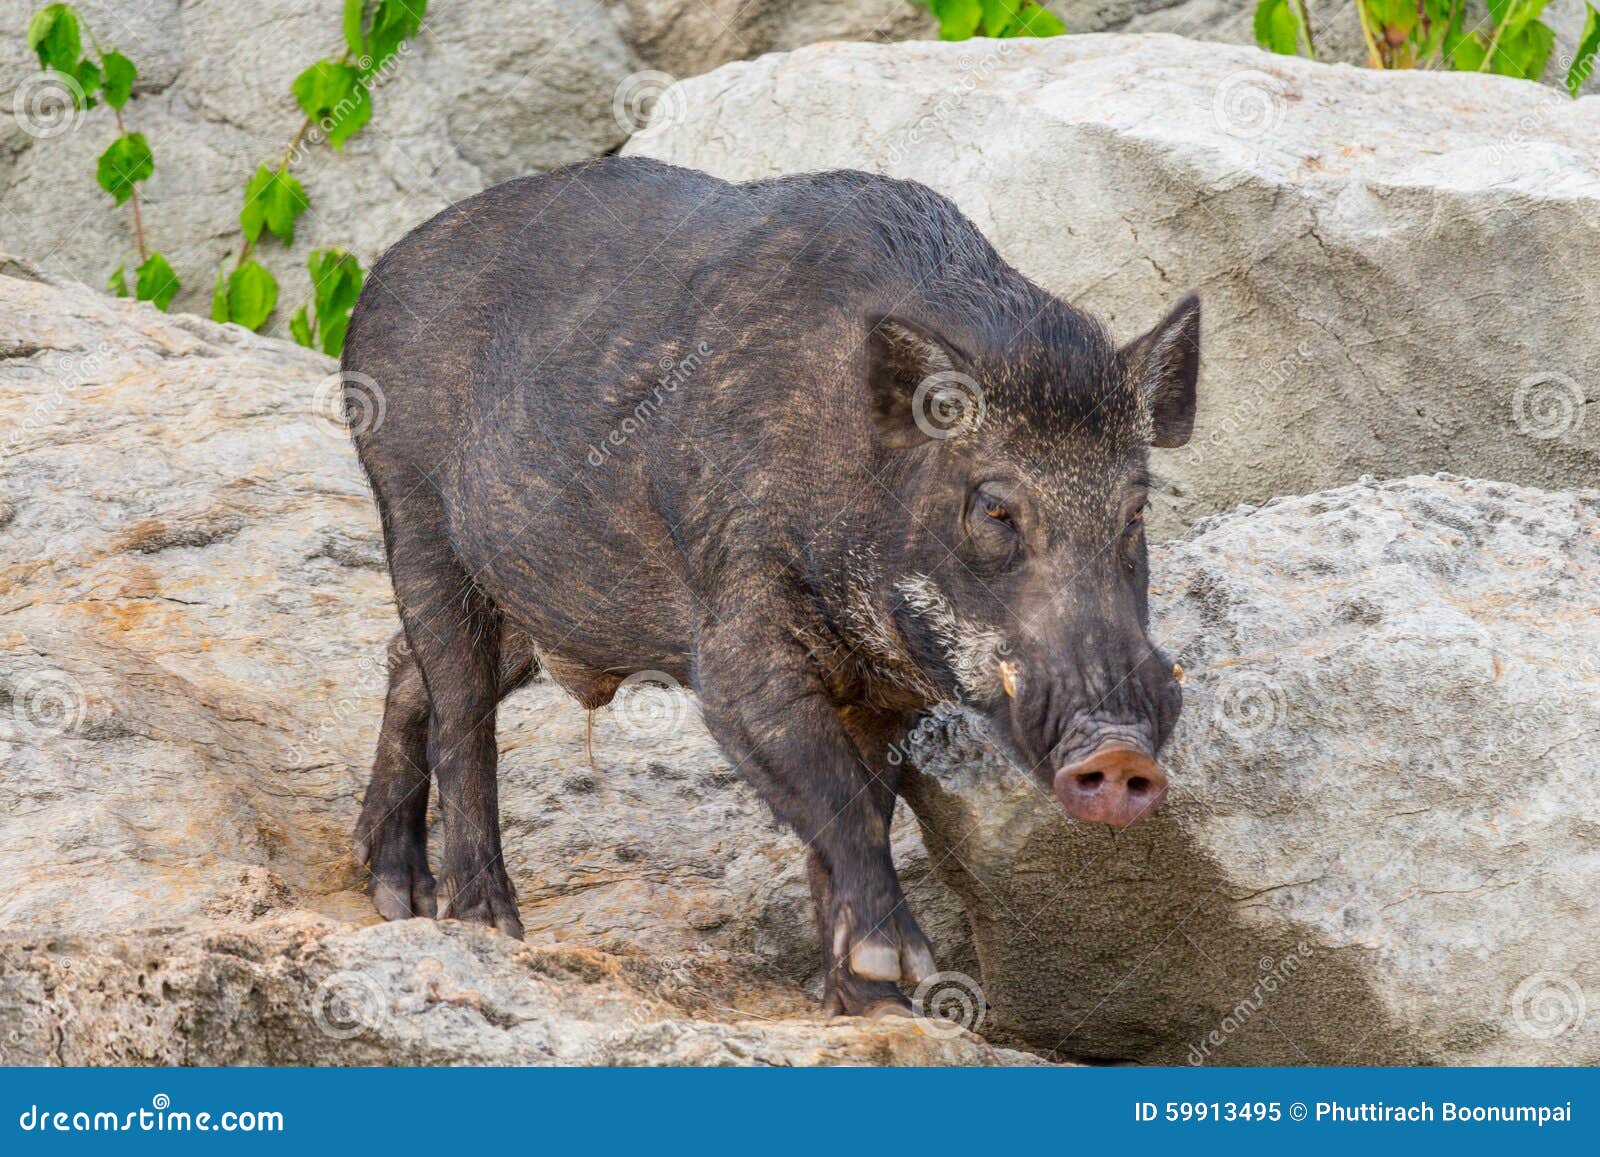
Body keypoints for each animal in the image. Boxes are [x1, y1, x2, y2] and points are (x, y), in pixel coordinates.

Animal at [346, 157, 1199, 1017]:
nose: (1121, 753)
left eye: (1136, 509)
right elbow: (836, 797)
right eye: (994, 507)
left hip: (536, 603)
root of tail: (383, 268)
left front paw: (870, 1007)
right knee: (461, 710)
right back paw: (482, 922)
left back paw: (392, 892)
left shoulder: (883, 698)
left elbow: (862, 811)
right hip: (415, 515)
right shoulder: (735, 640)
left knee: (404, 664)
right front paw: (900, 971)